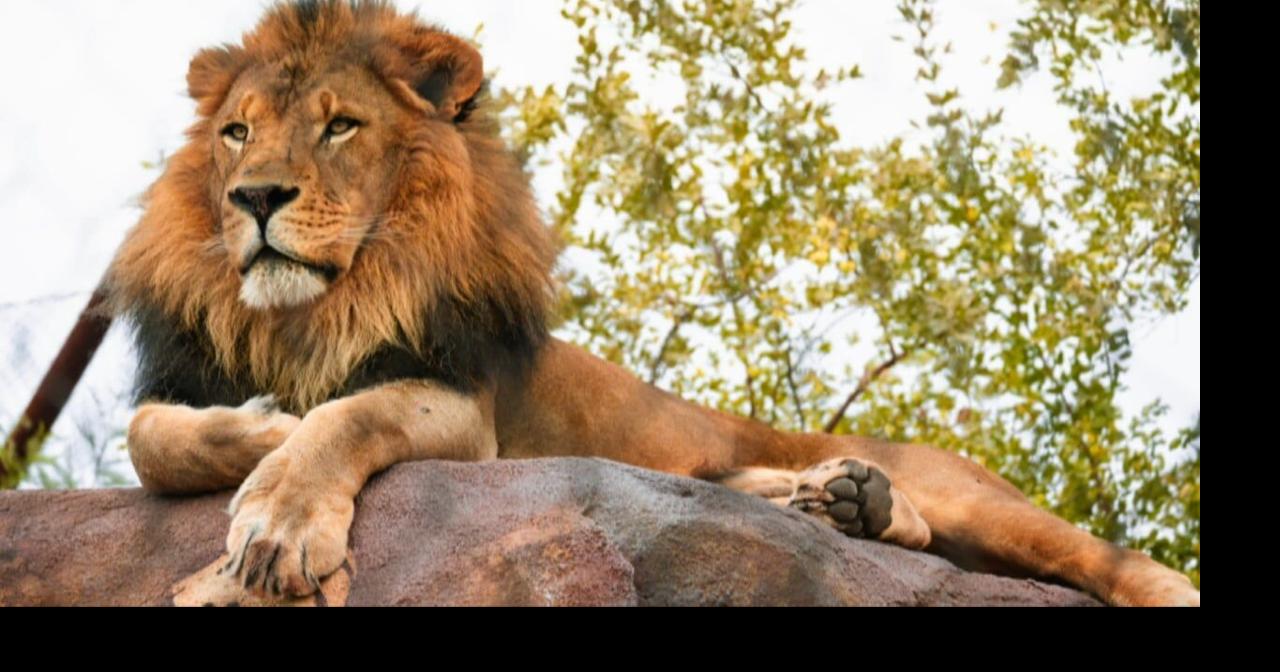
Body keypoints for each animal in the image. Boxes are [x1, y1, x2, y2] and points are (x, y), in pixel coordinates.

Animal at [106, 0, 1199, 606]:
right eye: (238, 133)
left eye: (340, 126)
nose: (254, 199)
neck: (312, 312)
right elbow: (149, 436)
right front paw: (255, 428)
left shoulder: (460, 406)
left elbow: (344, 418)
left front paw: (279, 516)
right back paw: (840, 499)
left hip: (989, 503)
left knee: (1103, 557)